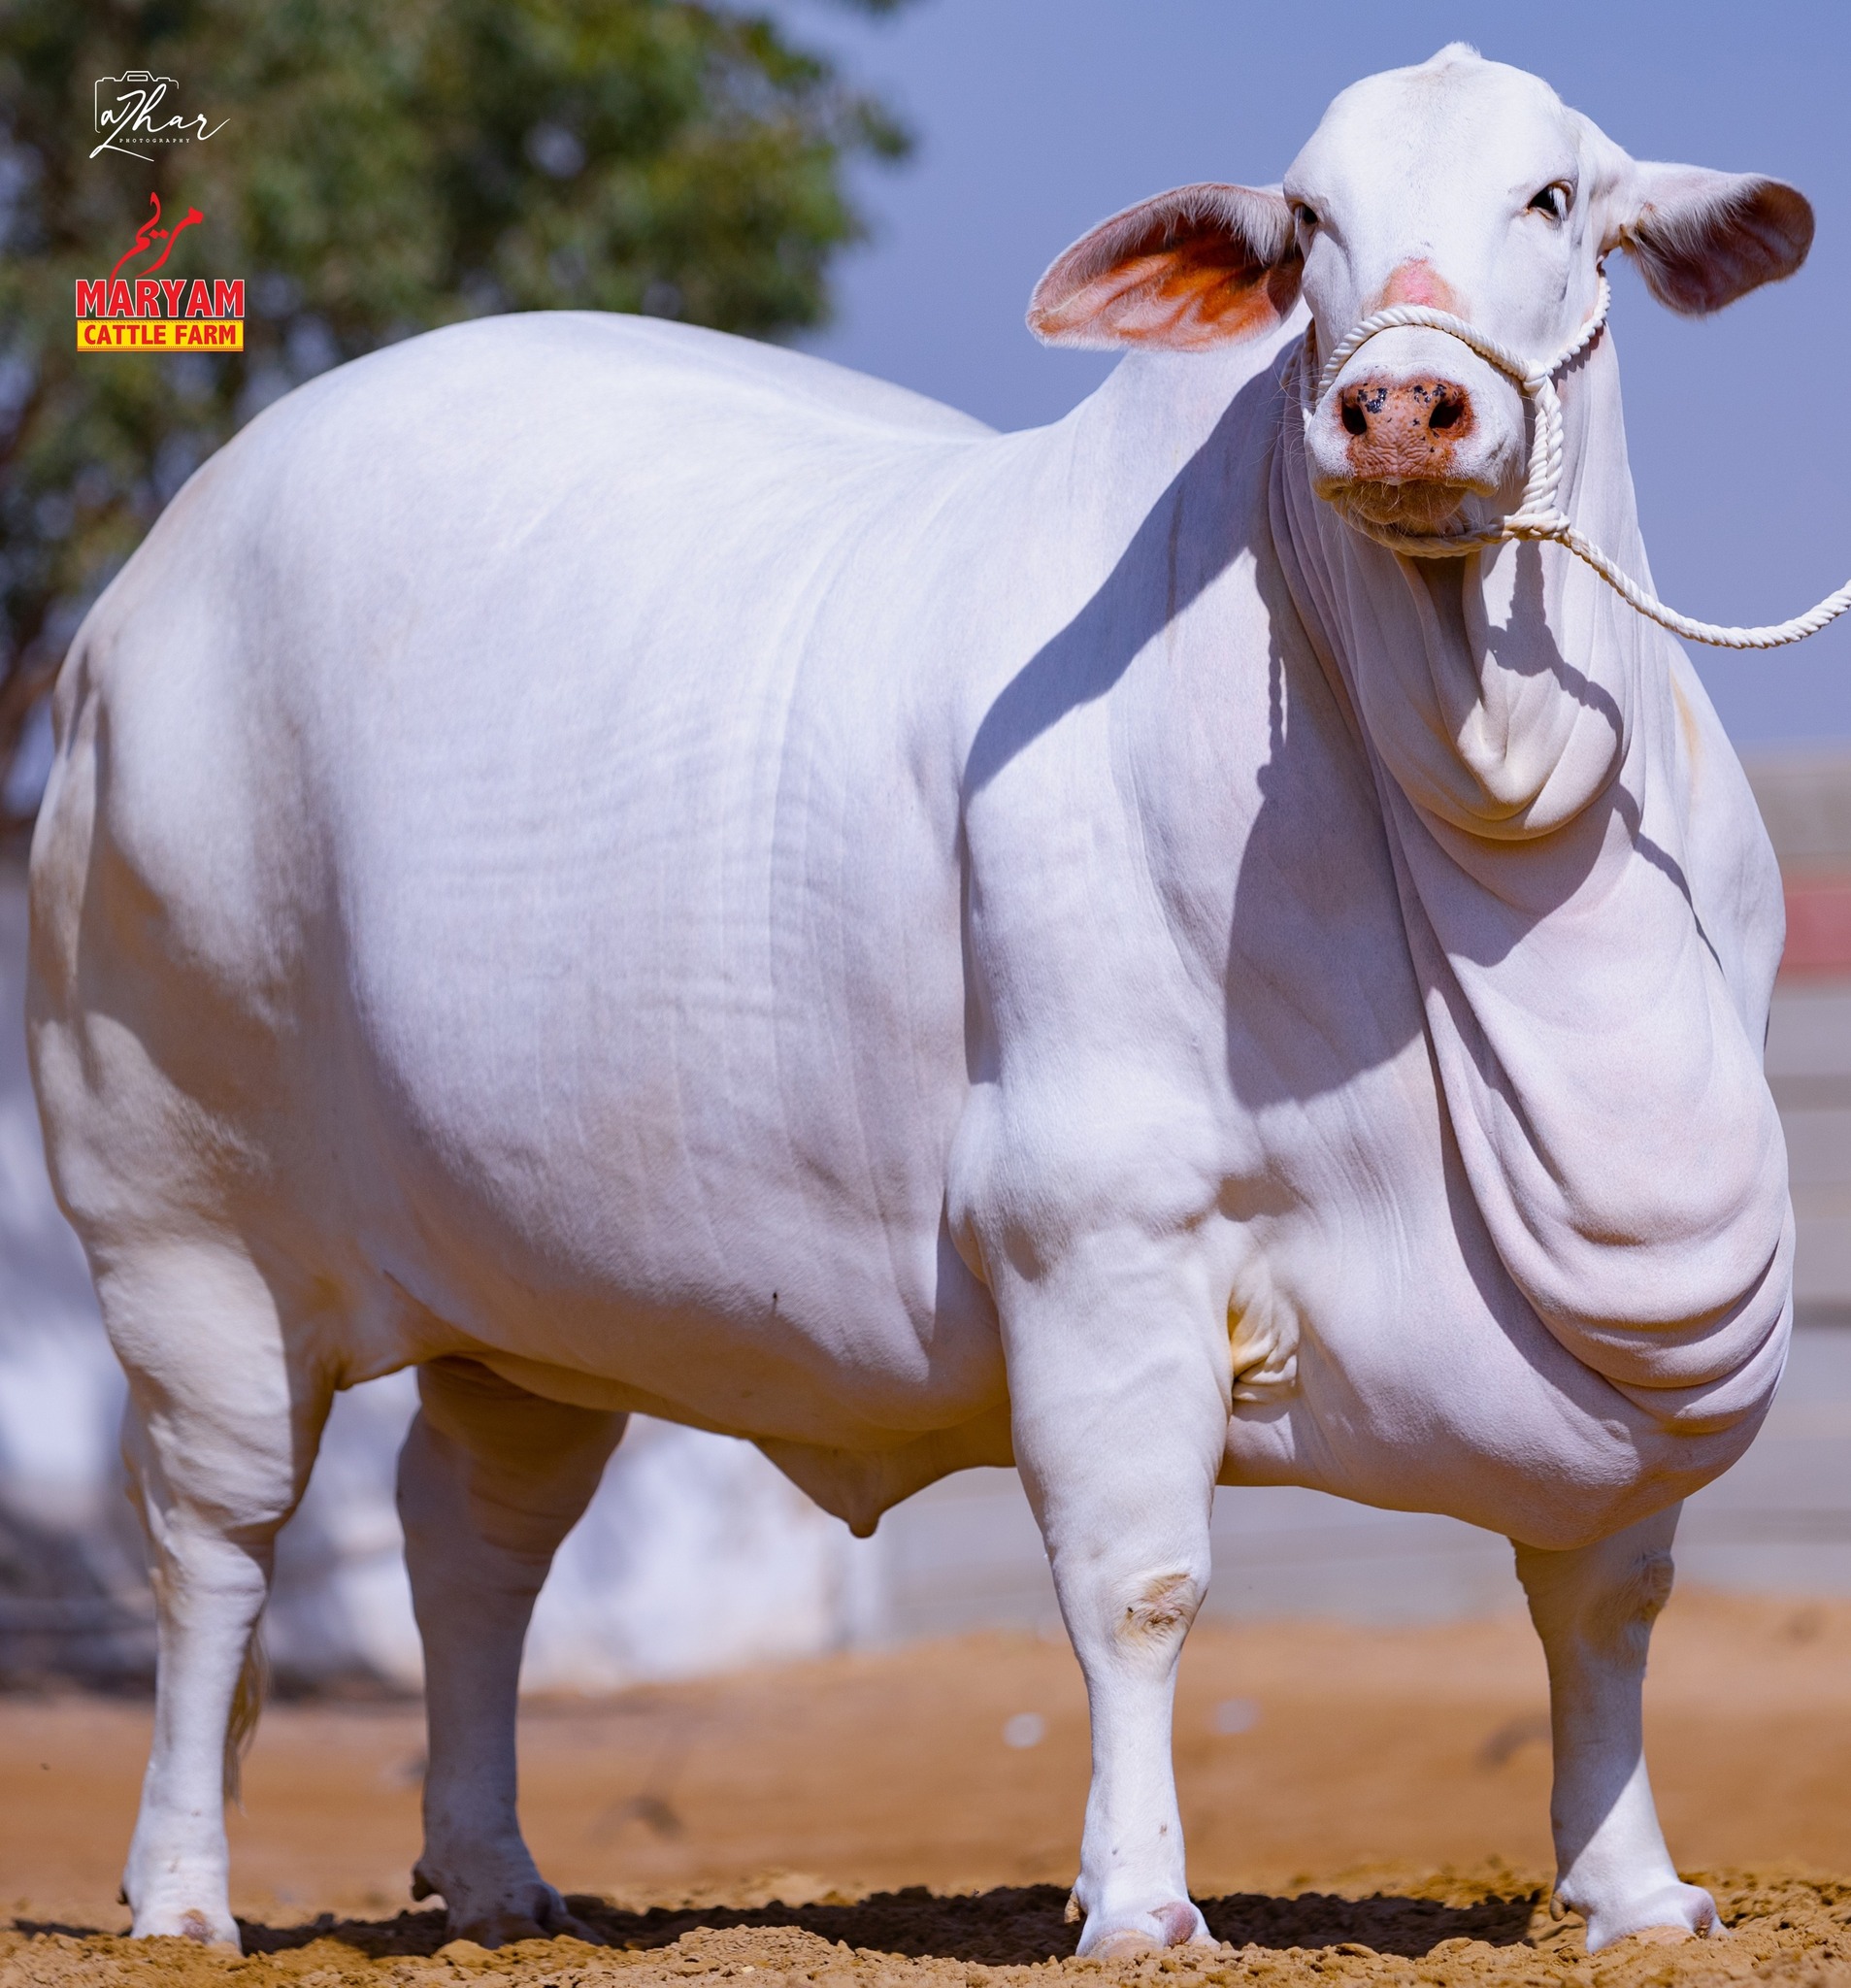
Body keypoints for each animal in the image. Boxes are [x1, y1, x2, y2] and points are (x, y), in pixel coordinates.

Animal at [28, 42, 1807, 1961]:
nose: (1398, 408)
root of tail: (135, 599)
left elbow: (1606, 1602)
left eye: (1553, 198)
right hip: (183, 1226)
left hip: (526, 1286)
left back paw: (497, 1879)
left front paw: (1635, 1894)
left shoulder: (1623, 1373)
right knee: (214, 1547)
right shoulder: (1096, 1235)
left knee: (474, 1536)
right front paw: (1138, 1902)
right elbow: (1140, 1584)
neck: (1495, 822)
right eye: (1307, 217)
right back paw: (181, 1895)